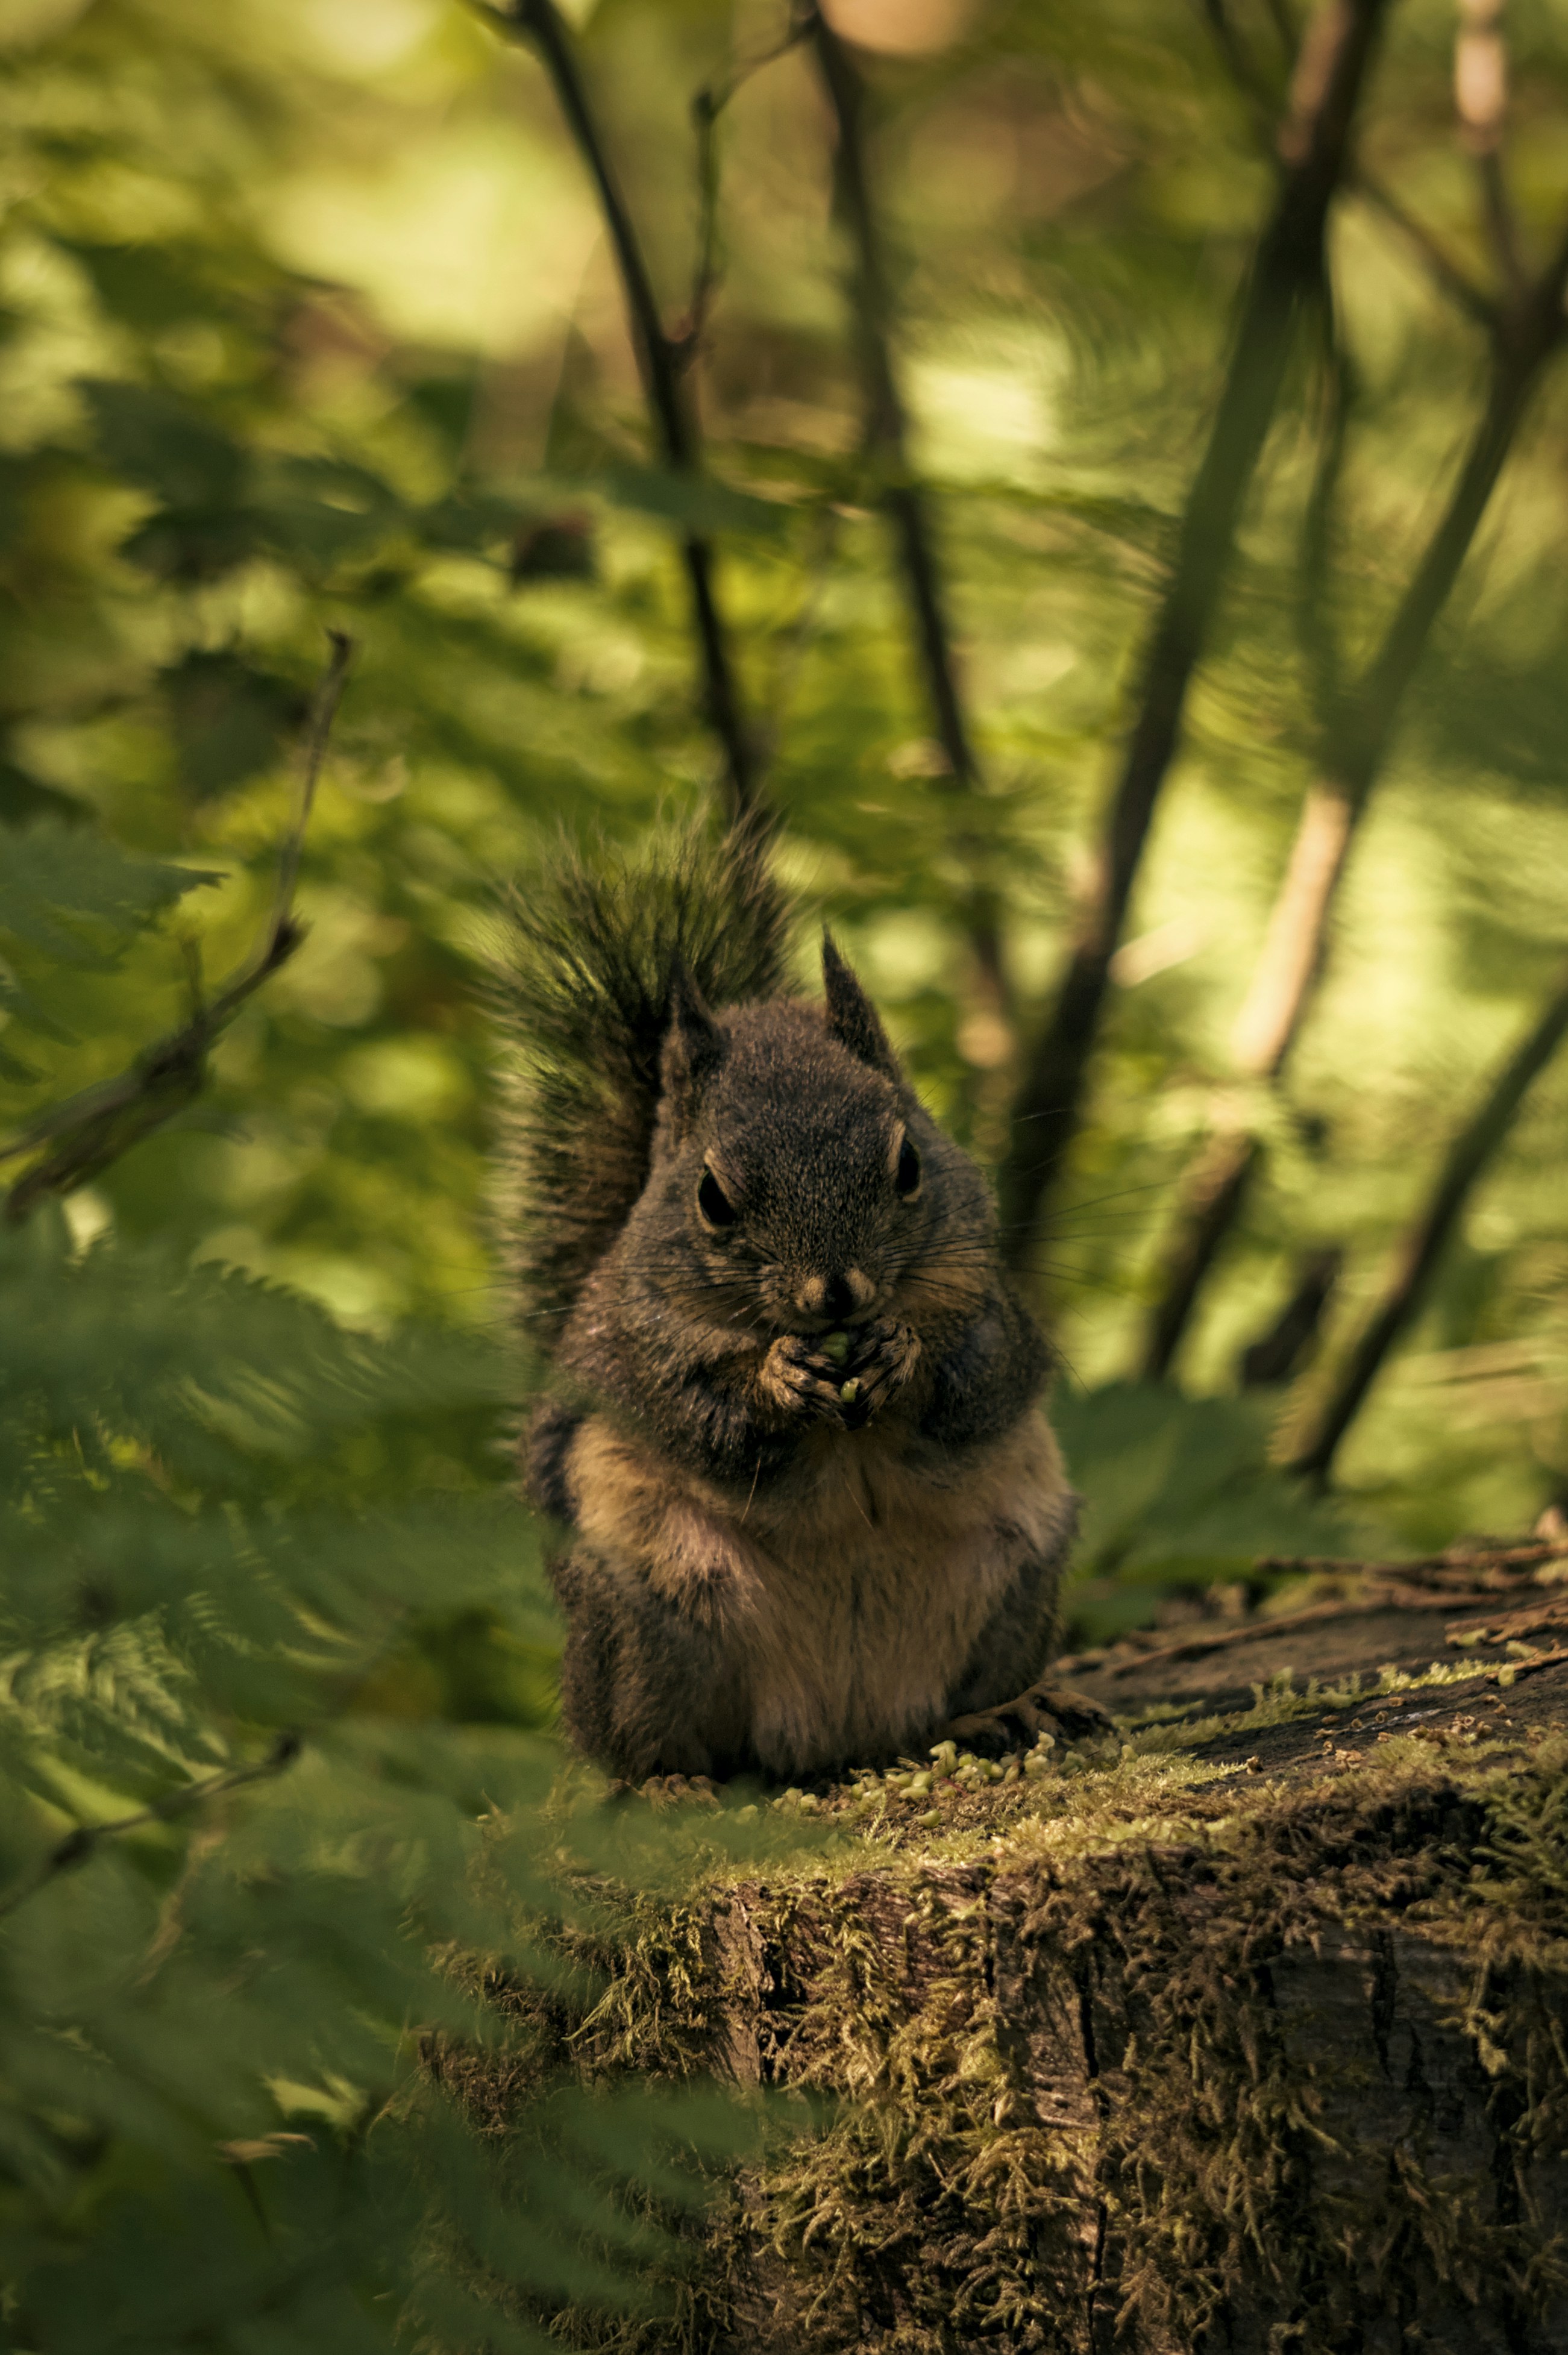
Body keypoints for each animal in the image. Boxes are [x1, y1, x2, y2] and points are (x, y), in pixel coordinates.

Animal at [495, 822, 1099, 1787]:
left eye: (908, 1163)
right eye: (710, 1197)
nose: (835, 1292)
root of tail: (838, 1733)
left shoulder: (993, 1305)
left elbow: (983, 1378)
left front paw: (904, 1355)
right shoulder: (630, 1348)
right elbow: (697, 1415)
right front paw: (777, 1381)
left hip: (1019, 1565)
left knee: (955, 1699)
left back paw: (1007, 1707)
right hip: (646, 1616)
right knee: (647, 1742)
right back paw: (666, 1783)